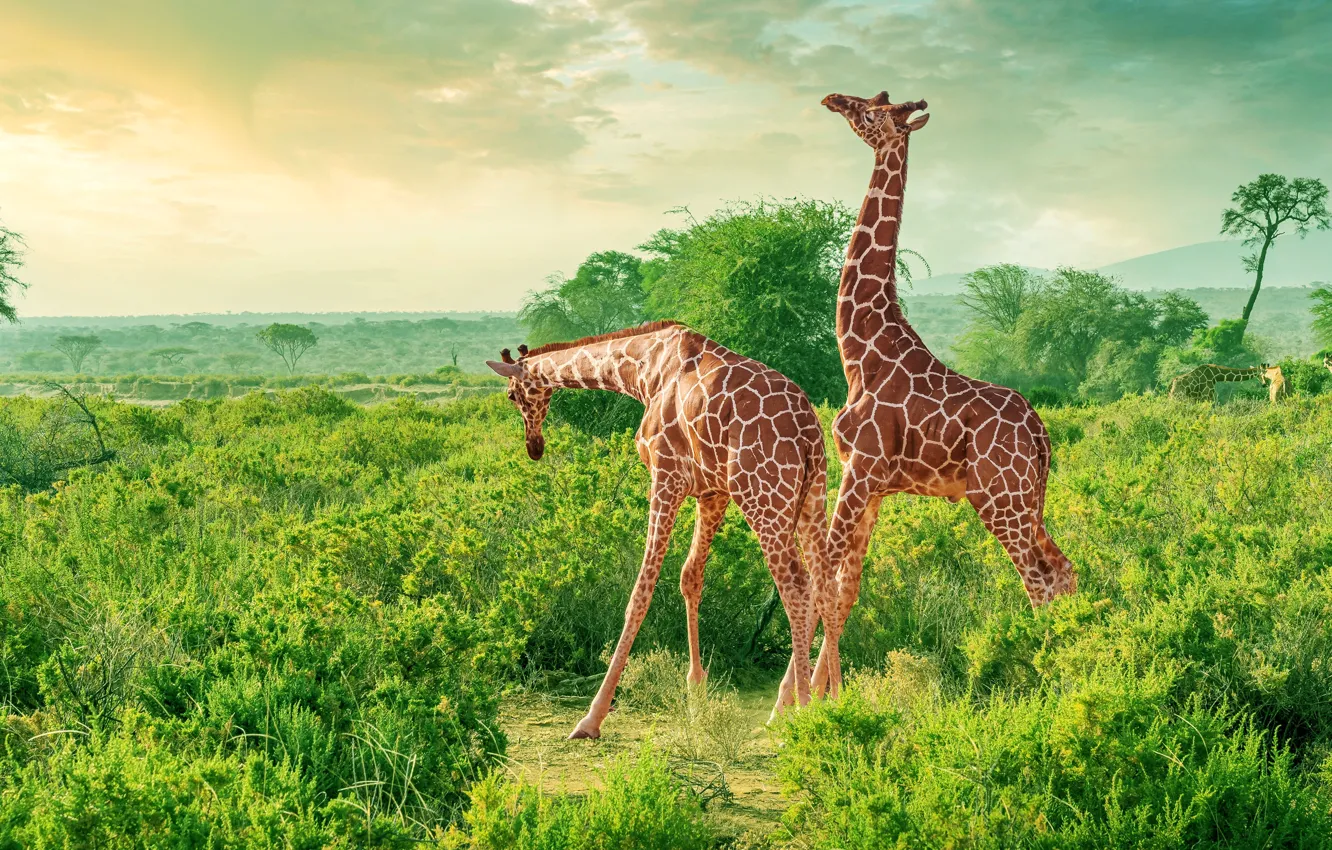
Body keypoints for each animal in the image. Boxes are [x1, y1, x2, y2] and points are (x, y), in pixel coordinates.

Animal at [486, 321, 835, 739]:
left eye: (511, 395)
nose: (534, 447)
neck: (643, 369)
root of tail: (809, 431)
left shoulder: (666, 474)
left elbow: (641, 590)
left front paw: (591, 718)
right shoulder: (712, 491)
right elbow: (690, 577)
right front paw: (697, 697)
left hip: (763, 495)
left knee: (796, 586)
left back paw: (800, 711)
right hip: (812, 495)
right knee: (825, 583)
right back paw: (831, 699)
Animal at [812, 91, 1076, 698]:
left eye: (870, 110)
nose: (832, 99)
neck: (859, 351)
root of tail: (1040, 435)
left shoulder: (860, 468)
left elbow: (823, 573)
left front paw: (802, 701)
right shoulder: (874, 486)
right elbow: (846, 587)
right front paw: (819, 695)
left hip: (998, 499)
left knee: (1038, 578)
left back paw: (1049, 678)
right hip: (1027, 499)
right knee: (1063, 568)